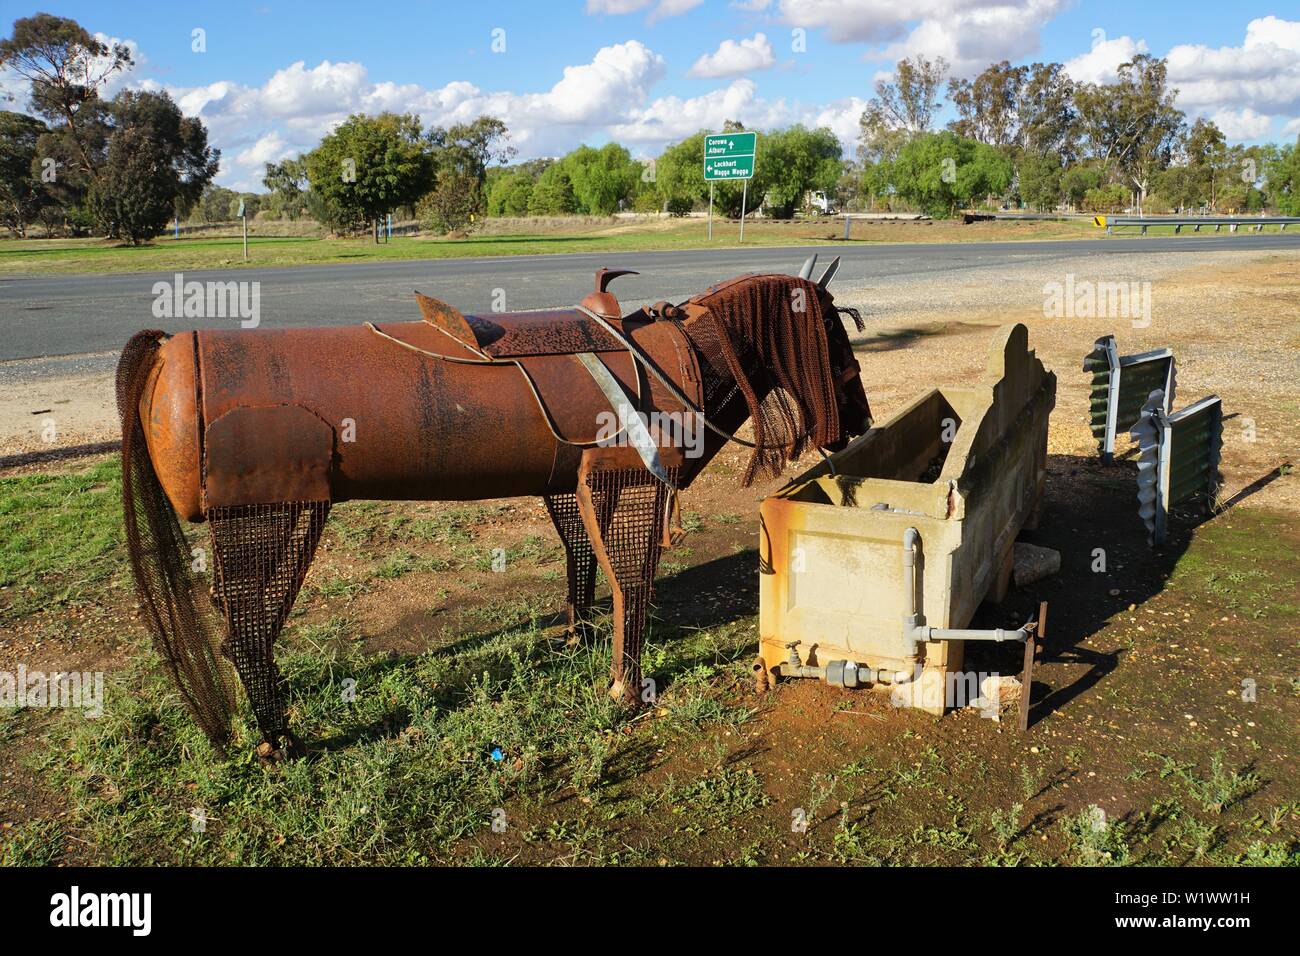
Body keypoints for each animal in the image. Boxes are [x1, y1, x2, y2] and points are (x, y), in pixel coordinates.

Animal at [116, 257, 872, 760]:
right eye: (835, 342)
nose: (858, 425)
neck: (693, 359)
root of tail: (170, 353)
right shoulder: (627, 479)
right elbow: (630, 585)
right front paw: (625, 690)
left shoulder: (571, 479)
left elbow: (582, 566)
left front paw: (575, 638)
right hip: (273, 512)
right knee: (244, 633)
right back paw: (276, 738)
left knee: (242, 629)